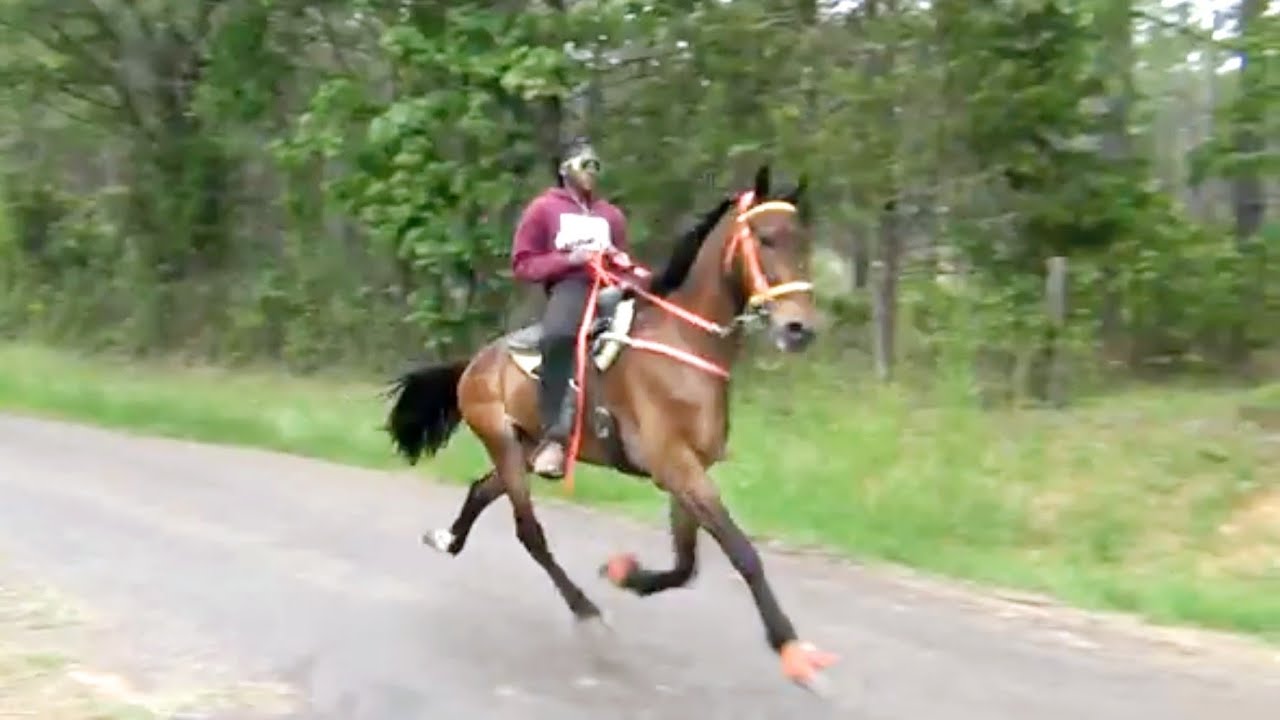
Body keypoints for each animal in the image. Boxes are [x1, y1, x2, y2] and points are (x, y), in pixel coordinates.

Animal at [383, 164, 838, 690]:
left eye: (803, 240)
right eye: (765, 238)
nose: (799, 329)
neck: (684, 342)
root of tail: (477, 362)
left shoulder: (686, 473)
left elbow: (684, 565)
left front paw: (624, 573)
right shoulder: (677, 466)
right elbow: (742, 554)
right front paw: (791, 649)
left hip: (525, 447)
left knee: (480, 490)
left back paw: (448, 540)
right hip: (502, 441)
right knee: (530, 533)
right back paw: (587, 613)